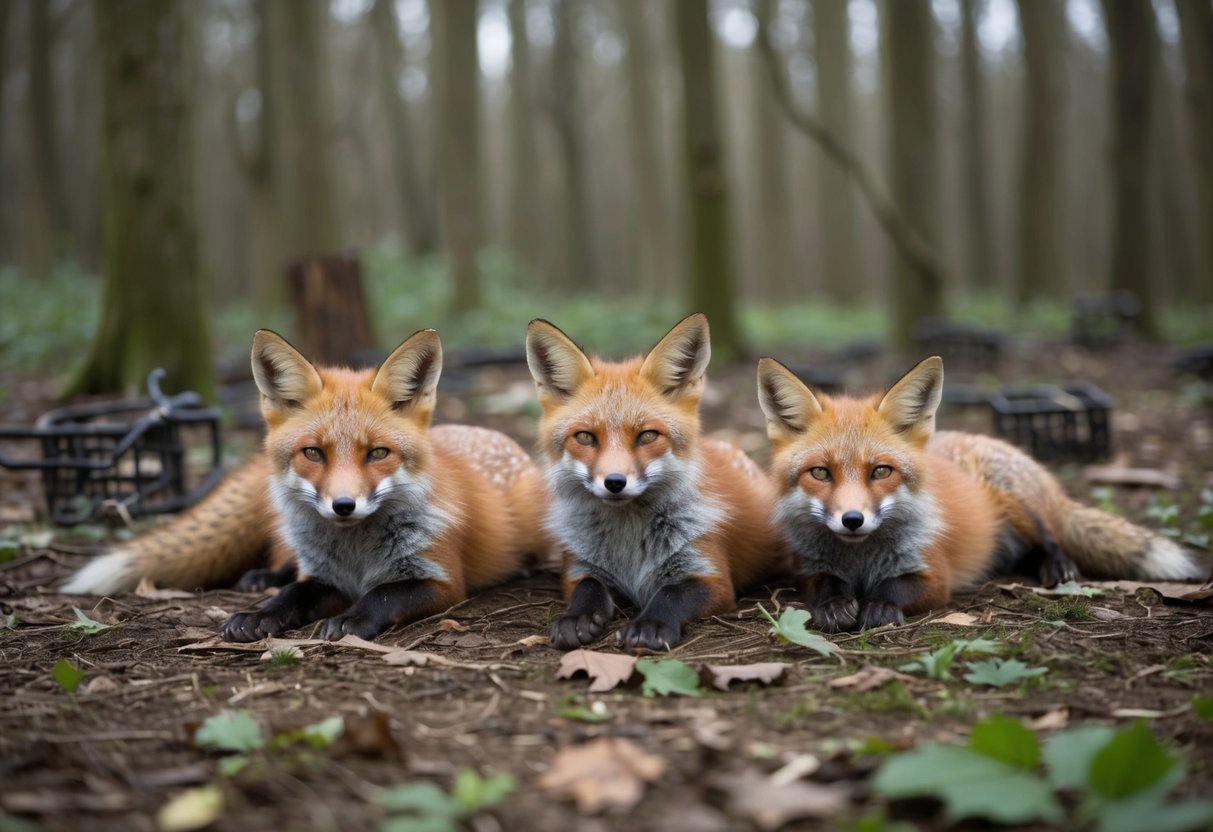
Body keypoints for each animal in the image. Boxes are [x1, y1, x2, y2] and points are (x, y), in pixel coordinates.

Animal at [65, 329, 550, 642]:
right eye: (313, 453)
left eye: (378, 453)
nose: (343, 505)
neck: (357, 557)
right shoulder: (325, 579)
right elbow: (294, 591)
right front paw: (262, 614)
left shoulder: (442, 582)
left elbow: (383, 594)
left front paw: (352, 620)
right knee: (286, 564)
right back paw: (261, 578)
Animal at [526, 313, 790, 652]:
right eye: (584, 437)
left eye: (647, 435)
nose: (615, 482)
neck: (628, 543)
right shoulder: (577, 570)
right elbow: (588, 586)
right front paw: (577, 618)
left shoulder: (712, 577)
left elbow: (670, 593)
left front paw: (650, 625)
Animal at [756, 355, 1207, 633]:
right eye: (820, 472)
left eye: (881, 471)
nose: (853, 520)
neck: (860, 560)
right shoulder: (806, 568)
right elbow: (825, 584)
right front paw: (836, 604)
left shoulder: (936, 575)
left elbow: (895, 587)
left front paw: (878, 606)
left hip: (1018, 503)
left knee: (1052, 538)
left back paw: (1058, 568)